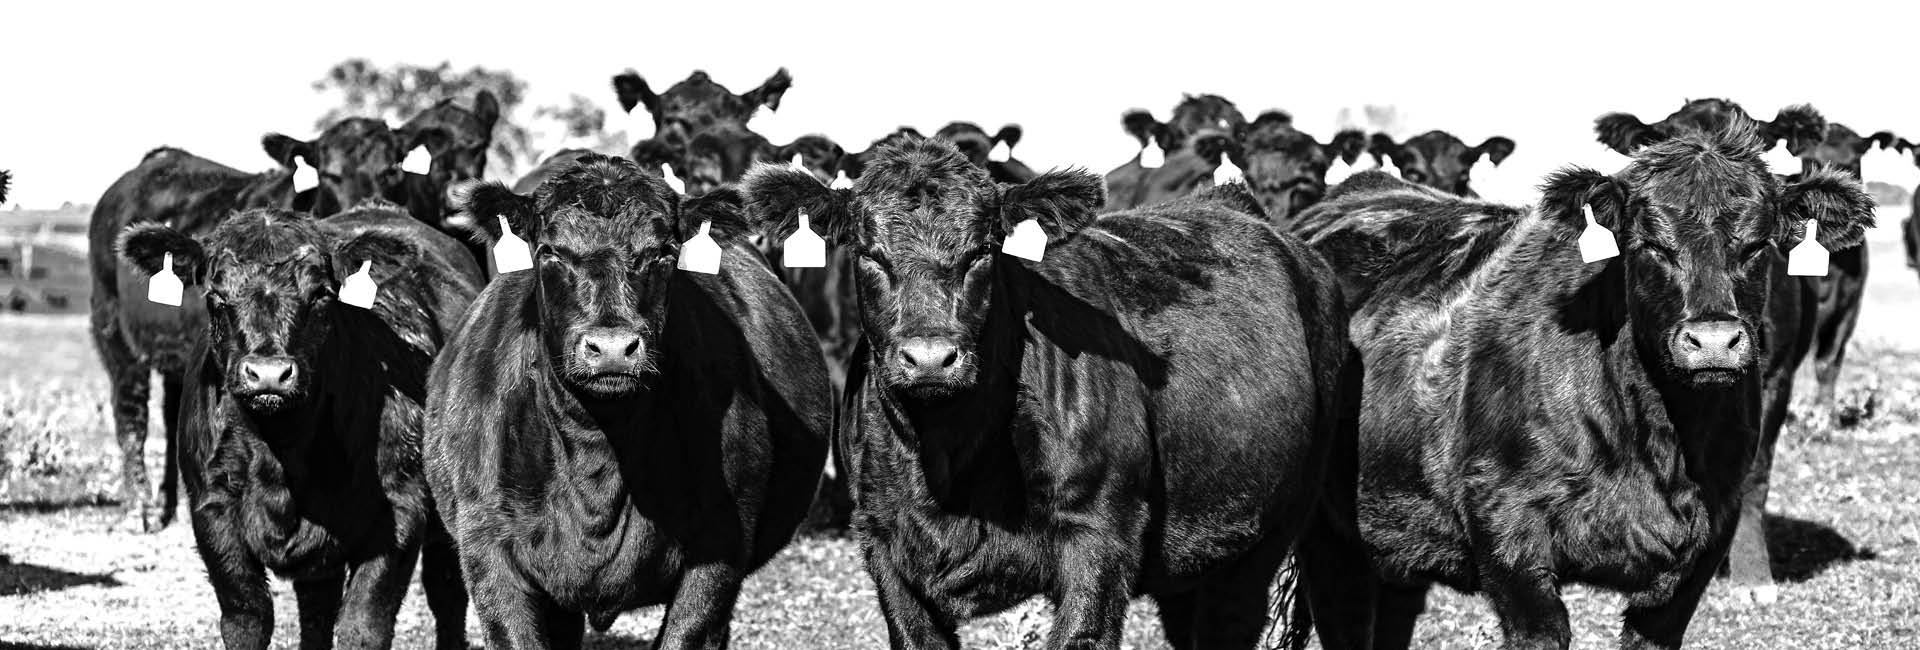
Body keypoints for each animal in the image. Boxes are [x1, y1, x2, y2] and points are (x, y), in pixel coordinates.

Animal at [114, 201, 482, 649]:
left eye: (322, 294)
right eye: (216, 297)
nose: (269, 375)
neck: (282, 452)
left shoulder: (400, 511)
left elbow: (363, 626)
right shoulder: (211, 511)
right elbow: (246, 618)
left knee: (446, 594)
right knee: (317, 609)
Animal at [739, 136, 1364, 649]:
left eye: (982, 252)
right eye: (870, 254)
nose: (931, 358)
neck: (948, 455)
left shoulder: (1099, 534)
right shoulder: (884, 546)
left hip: (1263, 540)